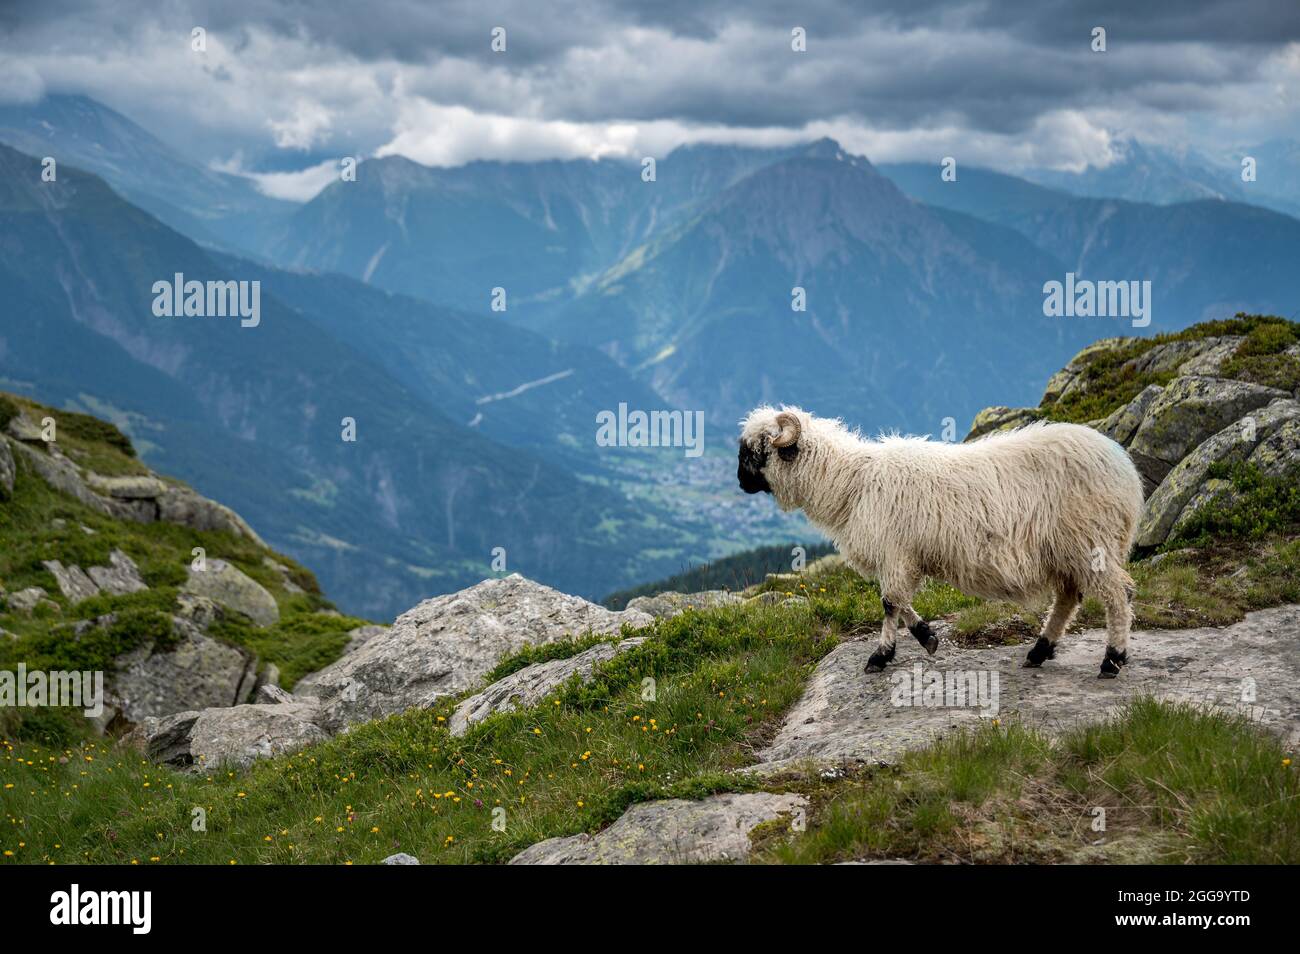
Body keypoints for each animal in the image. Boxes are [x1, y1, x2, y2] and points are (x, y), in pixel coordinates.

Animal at [738, 406, 1145, 678]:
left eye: (757, 450)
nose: (740, 483)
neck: (850, 482)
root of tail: (1123, 466)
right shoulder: (906, 556)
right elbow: (901, 602)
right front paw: (927, 637)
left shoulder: (895, 552)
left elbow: (890, 602)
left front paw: (881, 656)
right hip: (1067, 550)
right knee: (1067, 598)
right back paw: (1039, 651)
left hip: (1091, 542)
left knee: (1117, 594)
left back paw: (1112, 659)